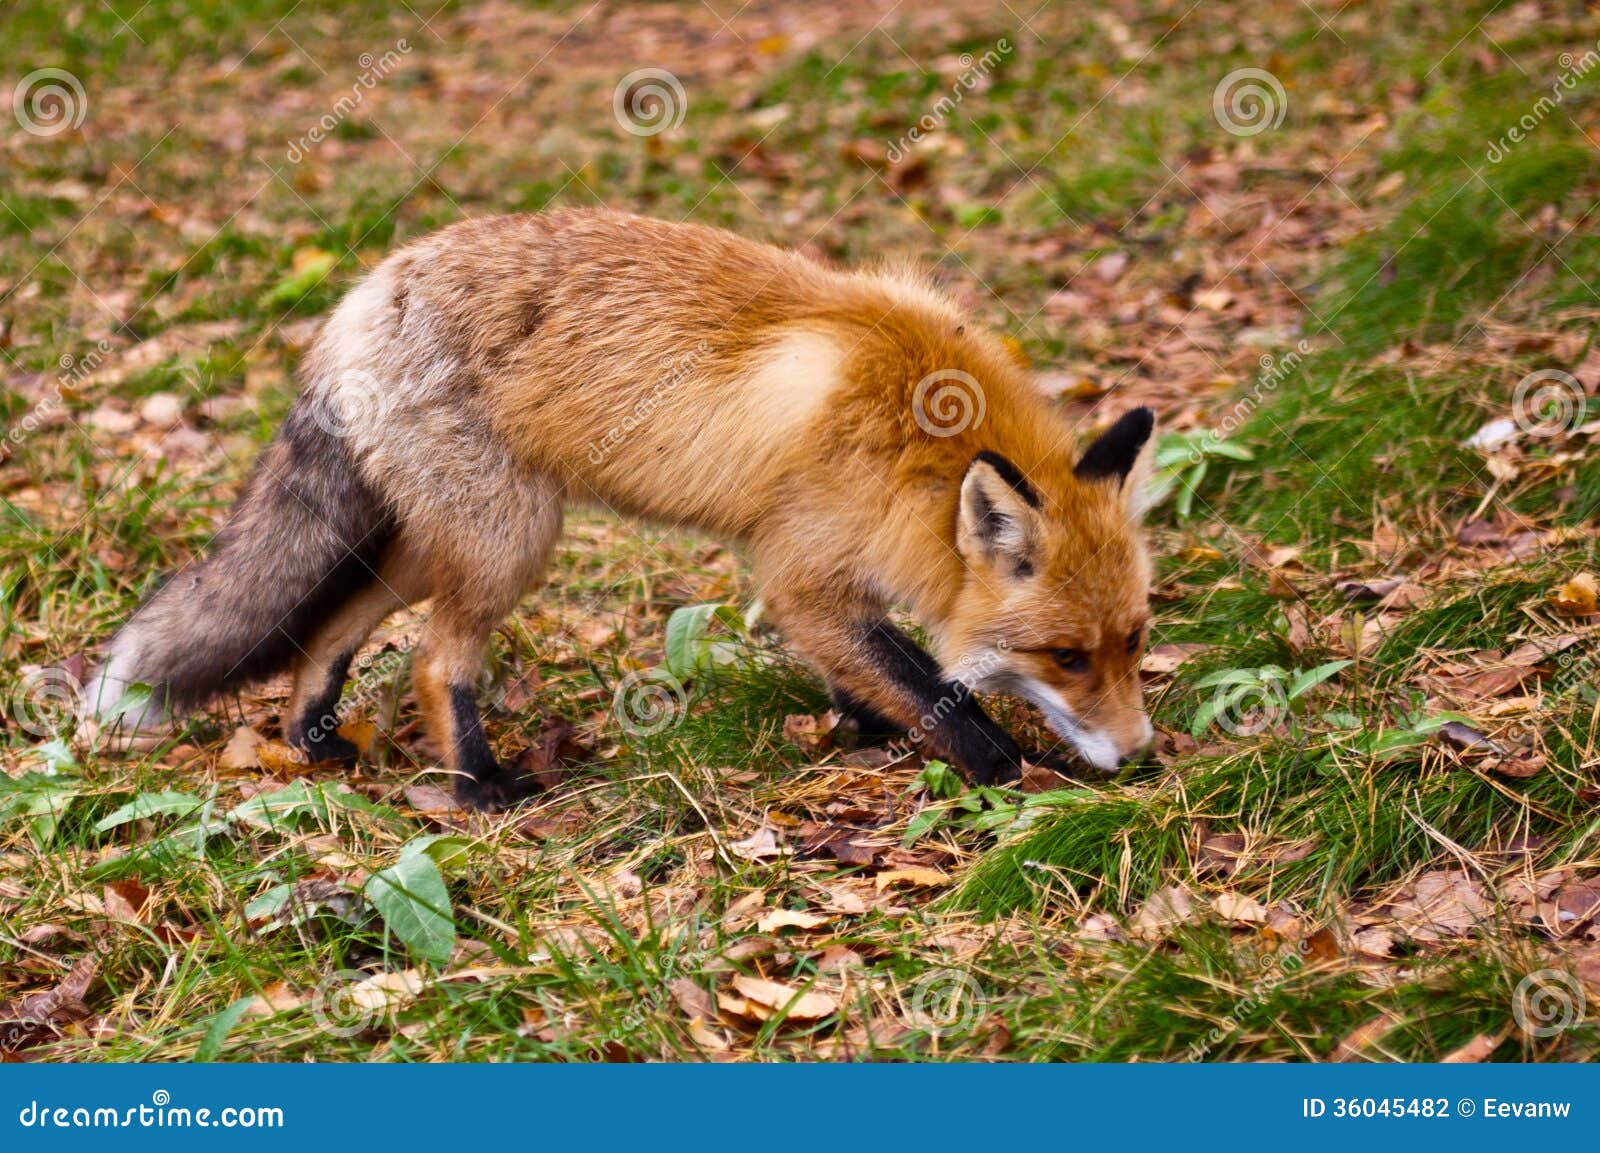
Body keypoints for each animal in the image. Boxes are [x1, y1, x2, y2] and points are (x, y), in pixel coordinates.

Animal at [86, 207, 1158, 810]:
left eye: (1136, 641)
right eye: (1065, 657)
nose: (1144, 756)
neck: (912, 432)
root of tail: (359, 295)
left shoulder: (824, 580)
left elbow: (876, 668)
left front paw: (866, 725)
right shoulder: (799, 570)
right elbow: (936, 688)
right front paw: (1003, 770)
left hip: (452, 538)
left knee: (335, 623)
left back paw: (313, 734)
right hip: (511, 539)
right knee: (434, 661)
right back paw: (480, 790)